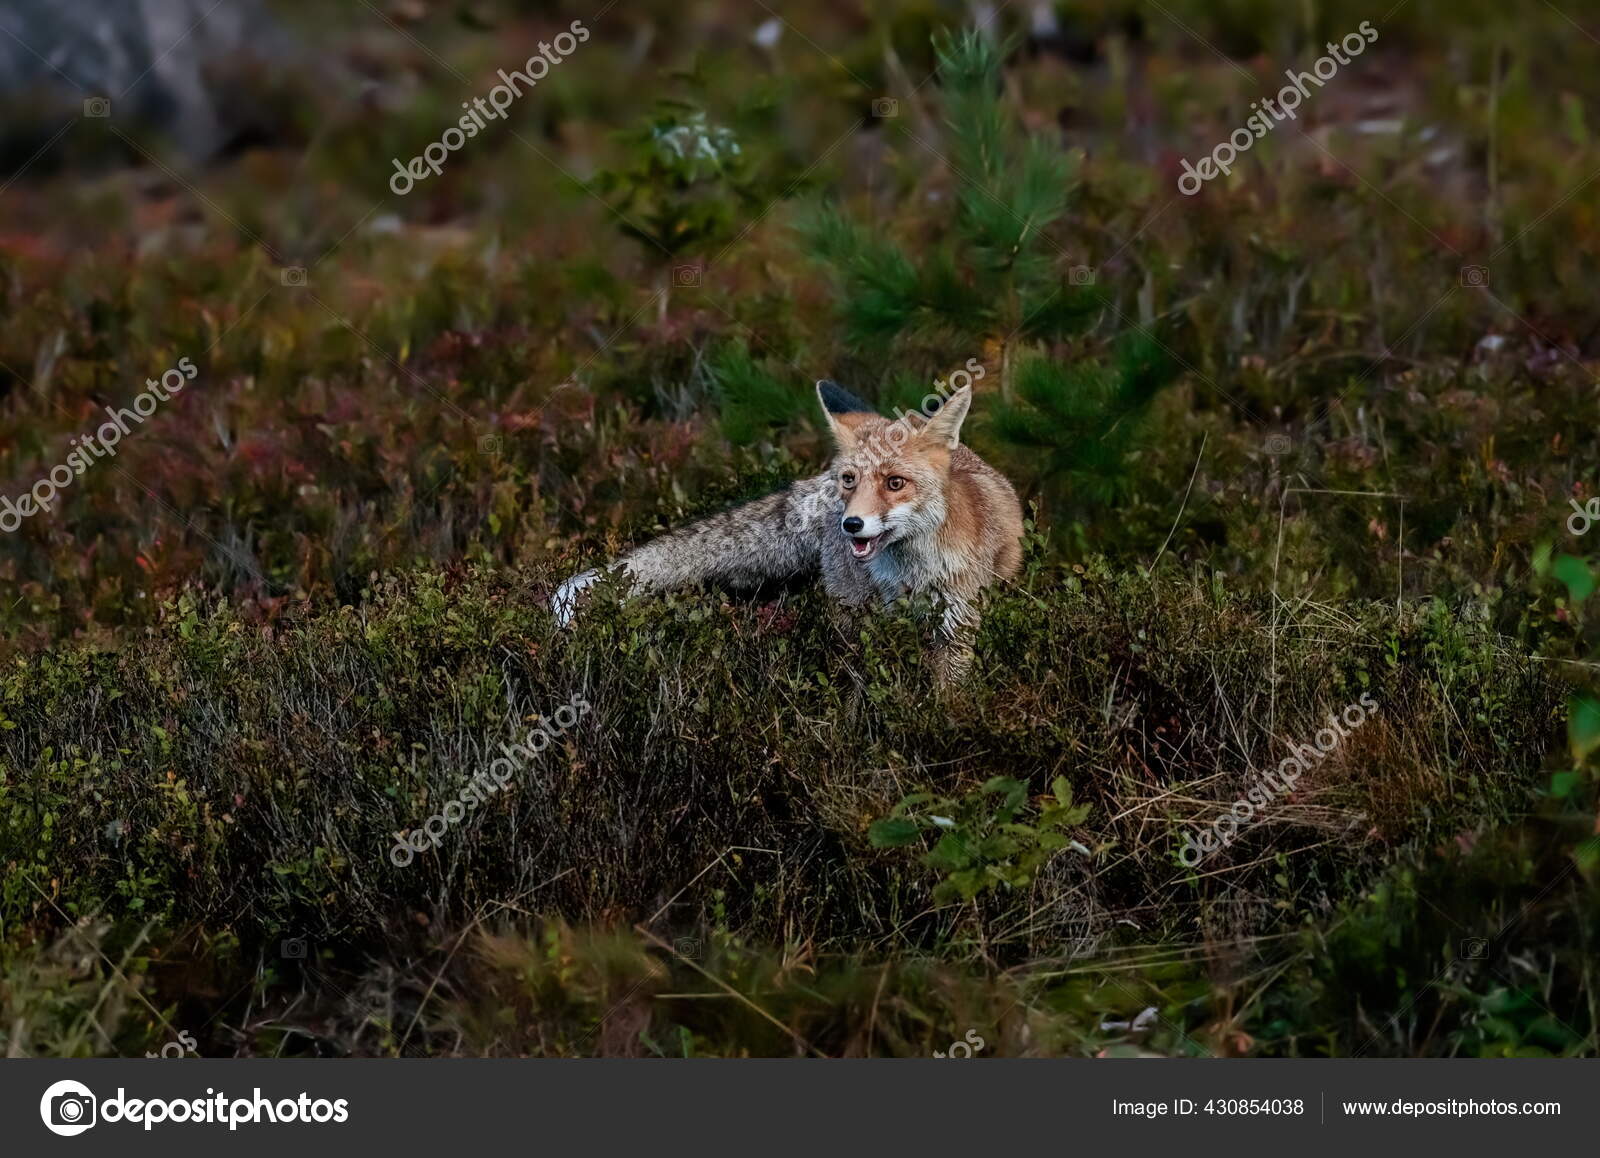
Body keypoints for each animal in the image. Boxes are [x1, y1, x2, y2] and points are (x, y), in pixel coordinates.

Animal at [551, 378, 1024, 680]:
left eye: (895, 483)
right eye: (850, 480)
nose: (852, 524)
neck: (911, 577)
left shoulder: (956, 627)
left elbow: (947, 697)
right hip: (849, 614)